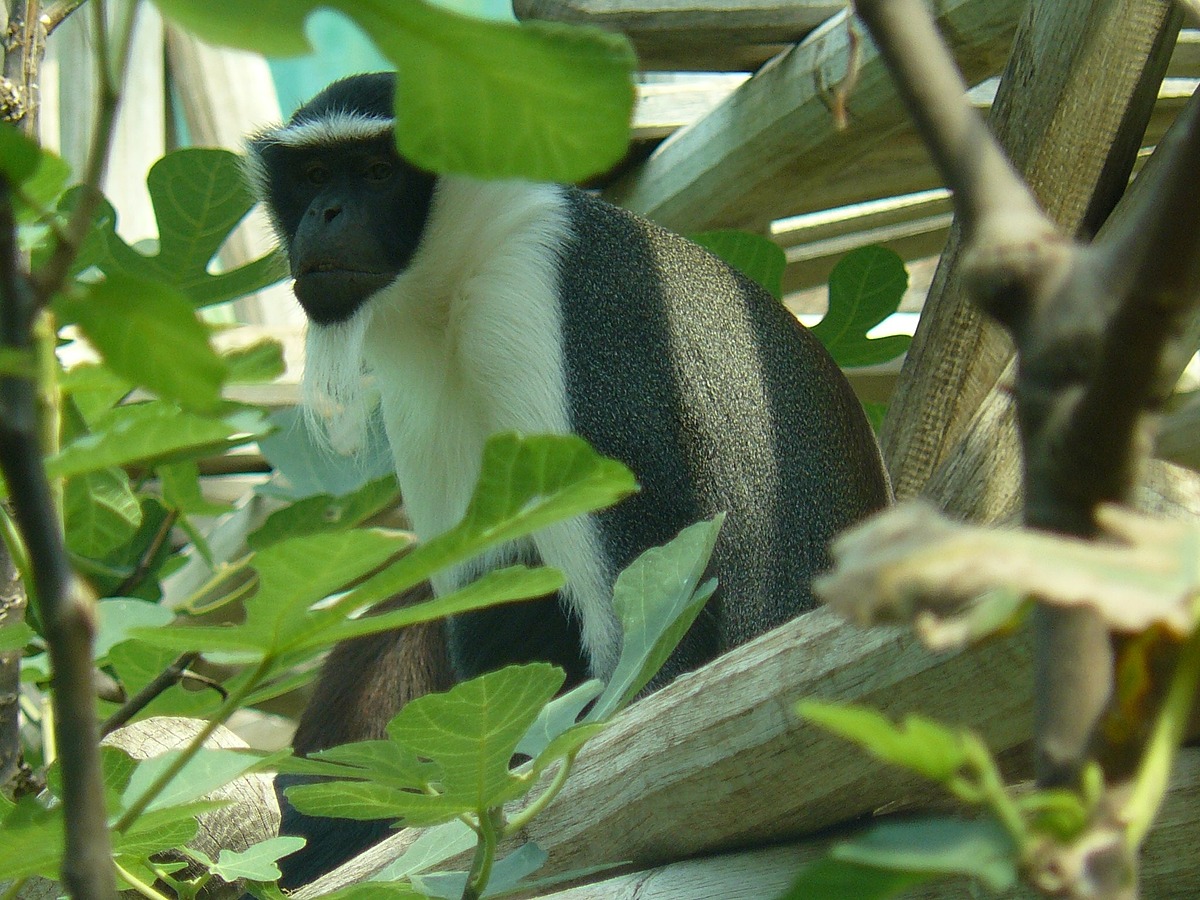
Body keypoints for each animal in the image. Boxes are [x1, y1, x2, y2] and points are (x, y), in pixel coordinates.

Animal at [245, 72, 890, 887]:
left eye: (377, 171)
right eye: (313, 174)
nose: (325, 214)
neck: (456, 283)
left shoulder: (549, 306)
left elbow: (659, 639)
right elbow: (498, 607)